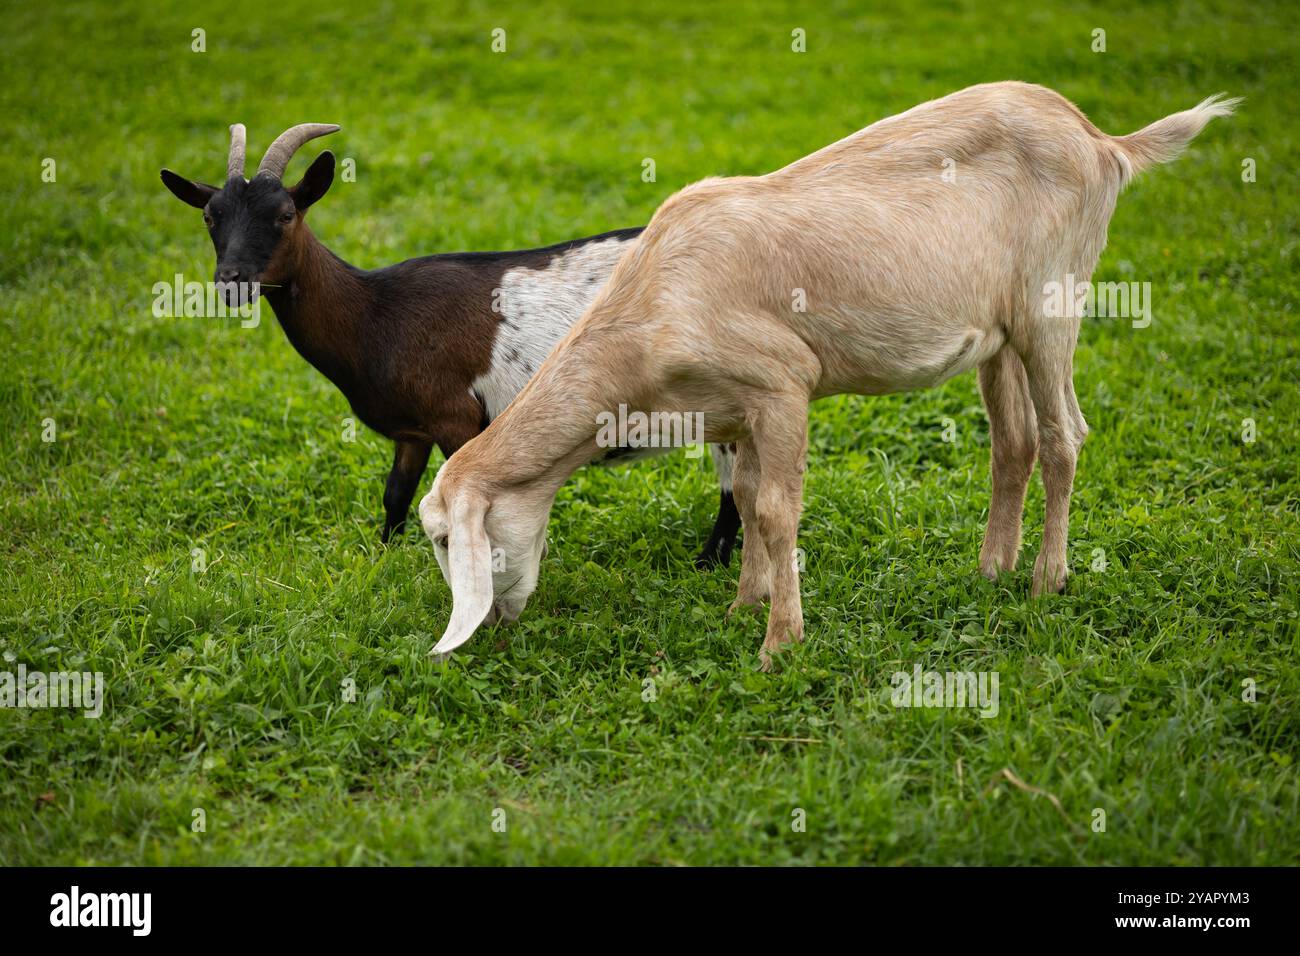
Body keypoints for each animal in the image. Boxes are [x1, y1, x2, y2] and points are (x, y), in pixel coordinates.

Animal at [160, 124, 741, 565]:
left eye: (284, 216)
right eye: (210, 217)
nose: (232, 282)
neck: (376, 314)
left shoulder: (455, 416)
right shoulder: (412, 429)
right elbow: (395, 496)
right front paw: (383, 561)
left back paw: (709, 562)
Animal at [418, 82, 1237, 668]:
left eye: (443, 540)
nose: (490, 624)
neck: (649, 309)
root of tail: (1102, 141)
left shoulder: (782, 384)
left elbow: (779, 512)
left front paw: (779, 643)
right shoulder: (736, 409)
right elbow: (748, 499)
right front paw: (744, 604)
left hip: (1052, 301)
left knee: (1065, 435)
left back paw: (1046, 581)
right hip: (999, 334)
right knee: (1016, 445)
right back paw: (990, 574)